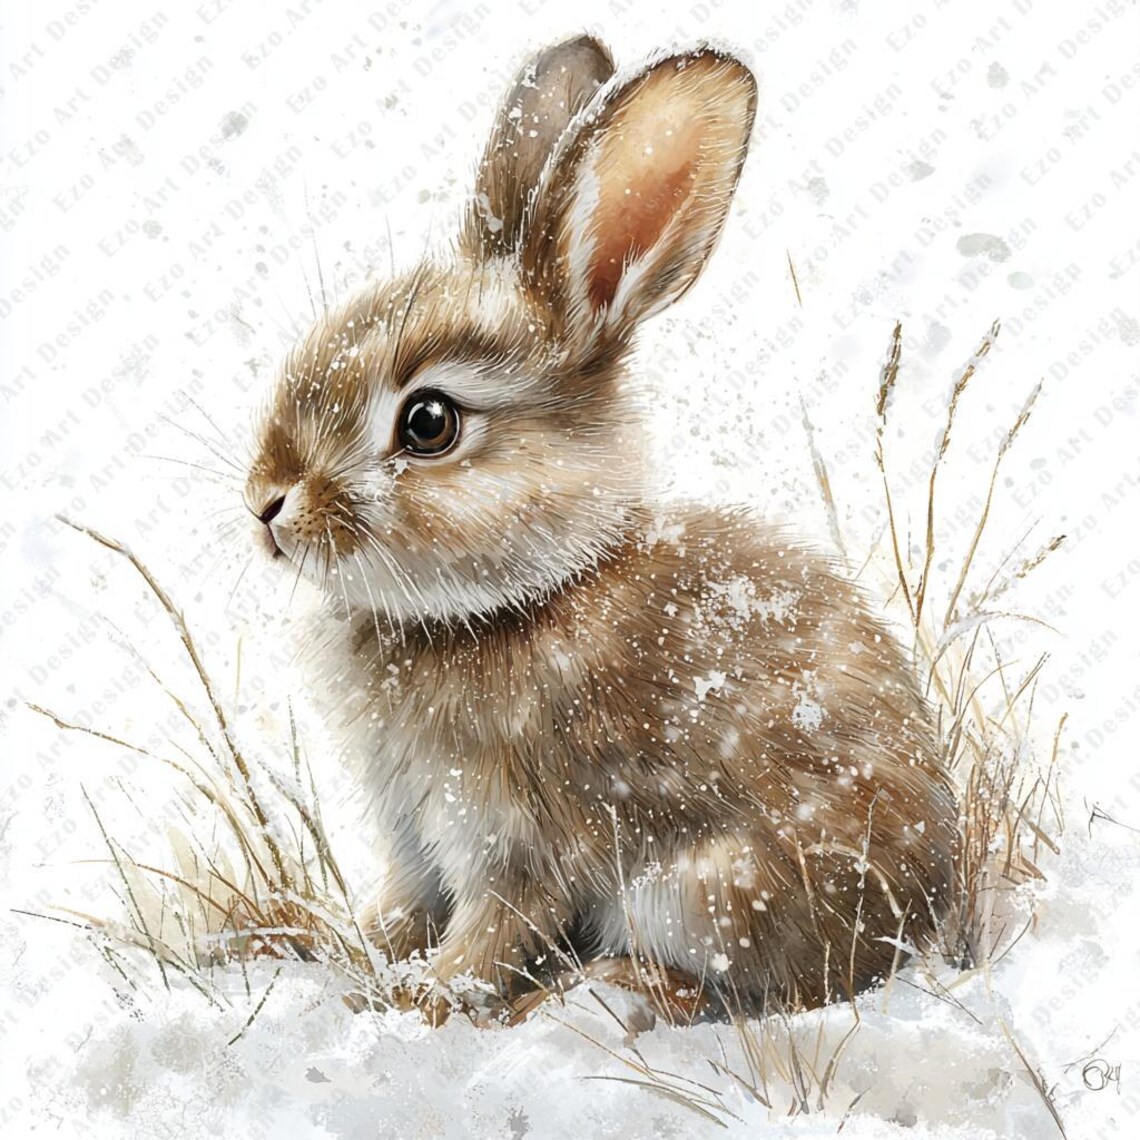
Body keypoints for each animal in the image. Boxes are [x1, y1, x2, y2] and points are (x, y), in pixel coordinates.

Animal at [244, 35, 959, 1021]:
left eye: (427, 423)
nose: (266, 502)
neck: (514, 599)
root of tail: (925, 911)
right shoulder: (412, 841)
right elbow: (399, 912)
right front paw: (345, 957)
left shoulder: (510, 838)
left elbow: (489, 938)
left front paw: (419, 1004)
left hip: (702, 893)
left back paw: (599, 990)